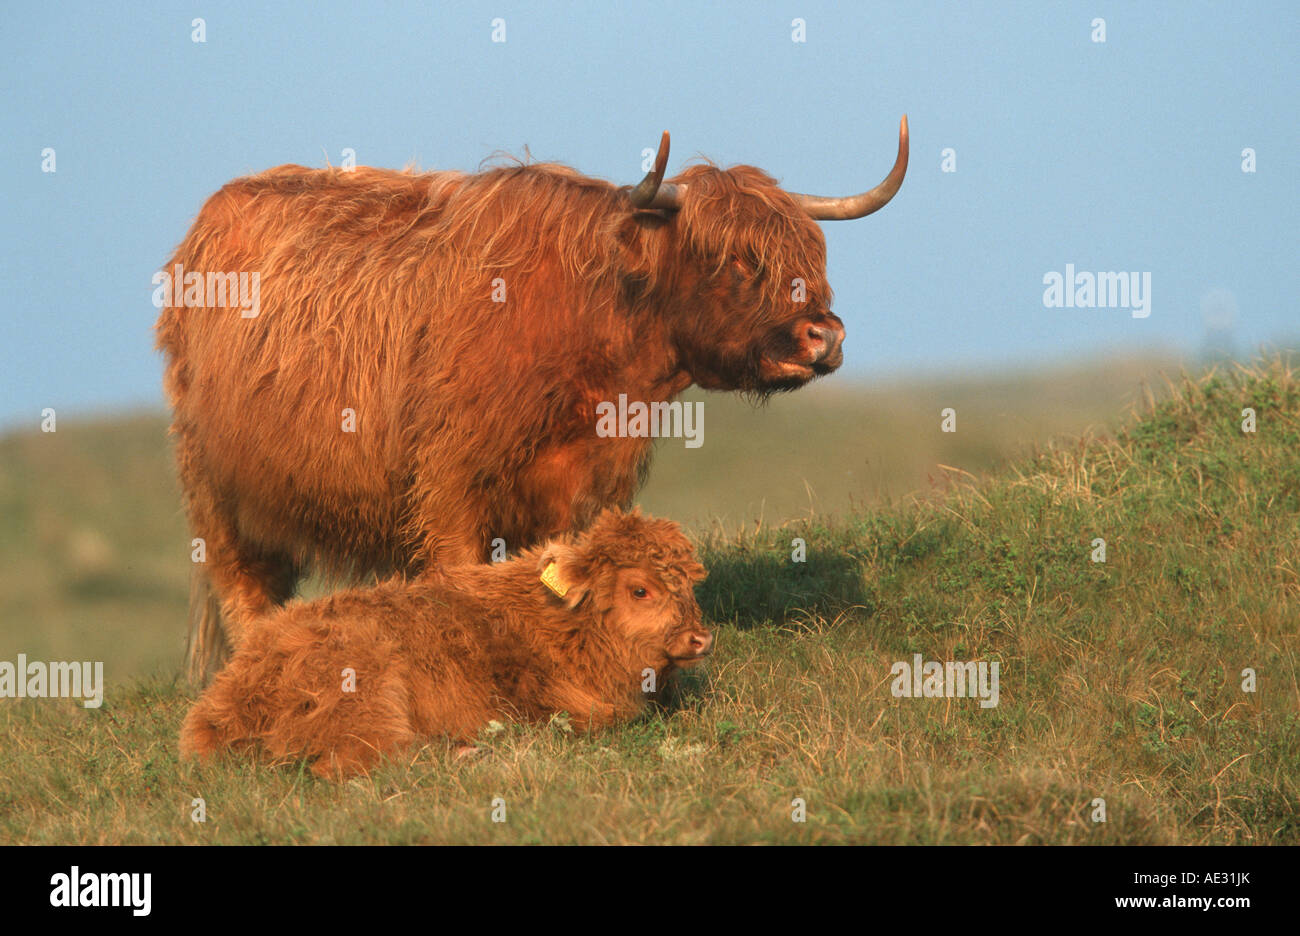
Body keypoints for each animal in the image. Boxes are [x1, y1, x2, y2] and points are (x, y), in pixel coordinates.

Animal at [156, 118, 908, 682]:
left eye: (813, 255)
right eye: (734, 259)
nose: (824, 335)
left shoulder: (587, 488)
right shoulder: (449, 487)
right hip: (216, 496)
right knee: (243, 593)